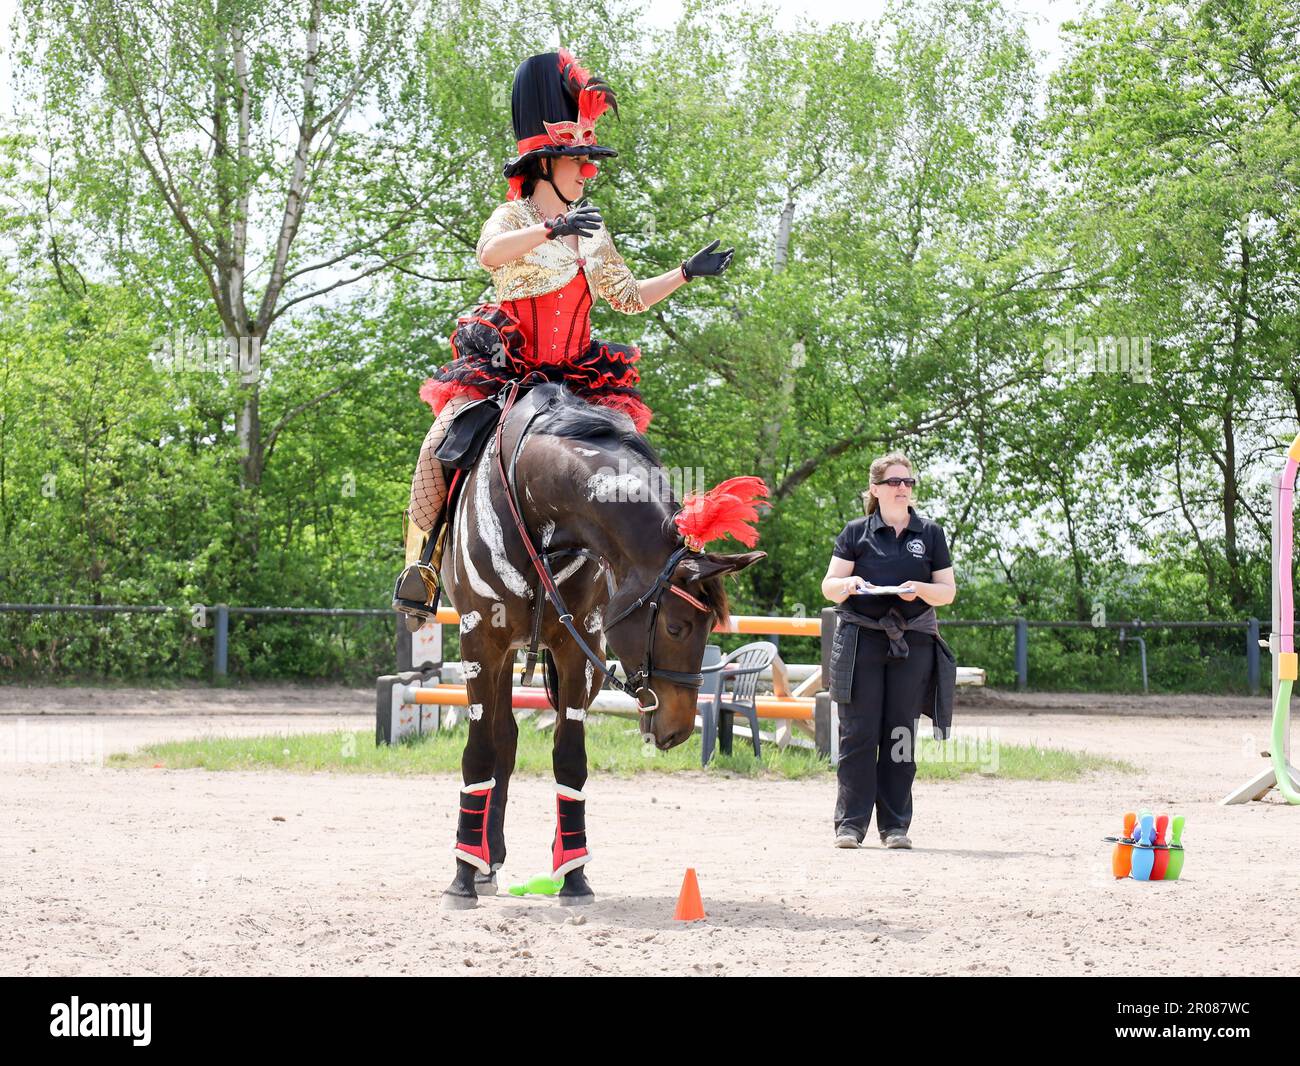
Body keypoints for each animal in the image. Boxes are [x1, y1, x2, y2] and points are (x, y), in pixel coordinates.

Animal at [437, 382, 765, 908]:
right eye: (676, 628)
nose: (678, 729)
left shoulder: (580, 648)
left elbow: (570, 757)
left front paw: (574, 875)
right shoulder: (480, 642)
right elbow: (480, 753)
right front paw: (463, 875)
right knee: (501, 738)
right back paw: (485, 860)